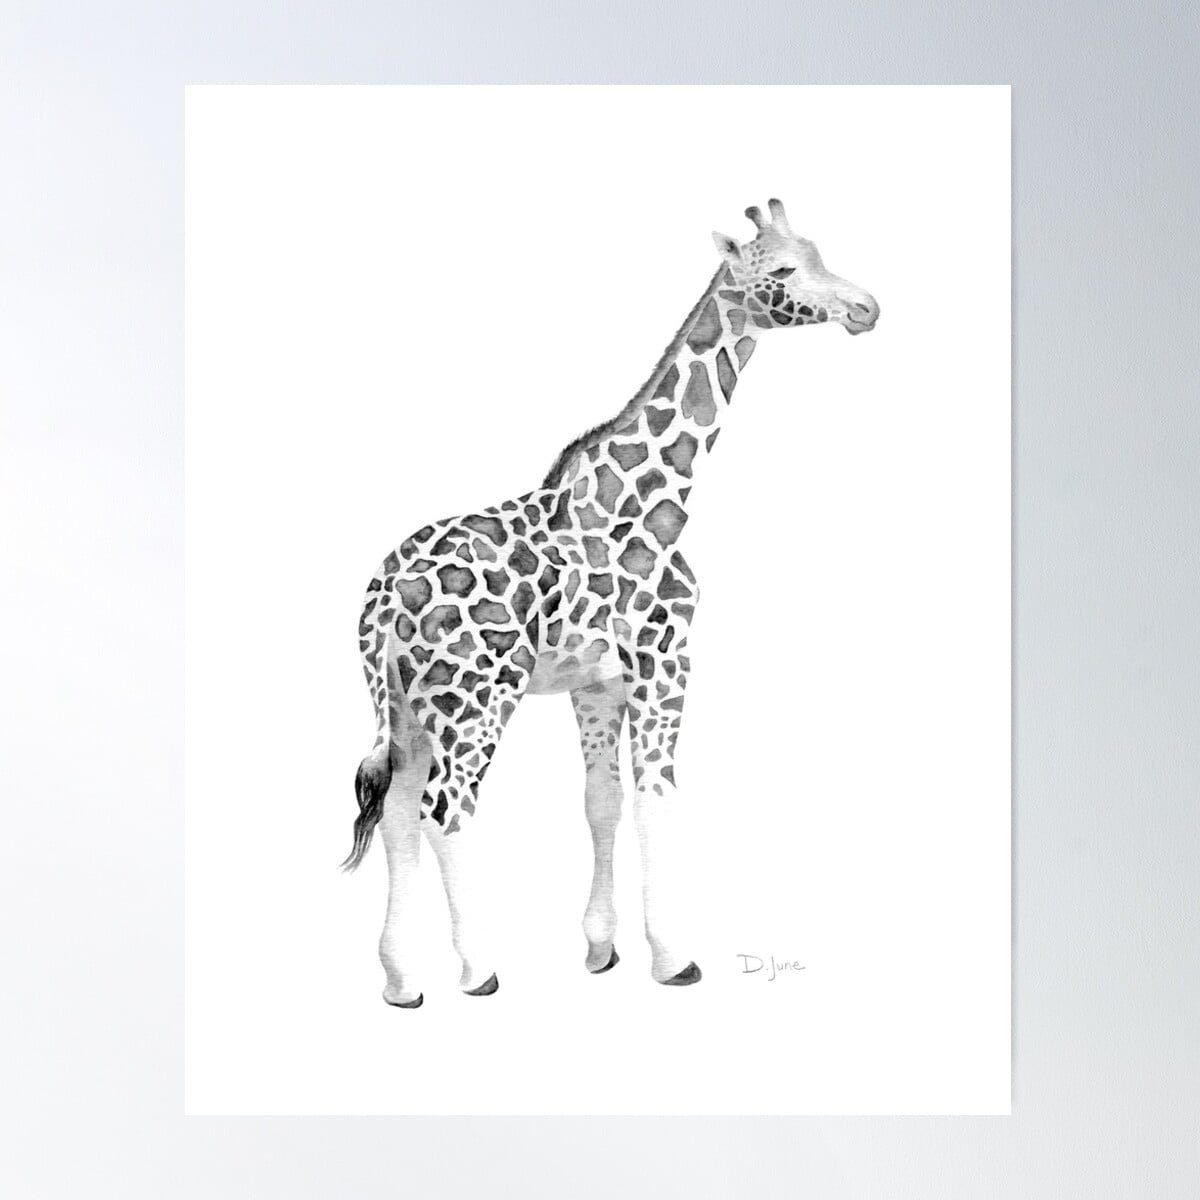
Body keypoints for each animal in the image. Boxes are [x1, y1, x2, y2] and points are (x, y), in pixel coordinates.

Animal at [346, 199, 878, 1007]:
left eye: (820, 253)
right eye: (785, 269)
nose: (866, 308)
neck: (661, 499)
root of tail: (377, 600)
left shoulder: (596, 683)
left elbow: (603, 799)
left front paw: (601, 947)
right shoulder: (666, 662)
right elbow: (658, 796)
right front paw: (674, 957)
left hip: (409, 702)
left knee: (400, 810)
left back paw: (403, 980)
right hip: (476, 695)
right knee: (446, 808)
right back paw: (478, 968)